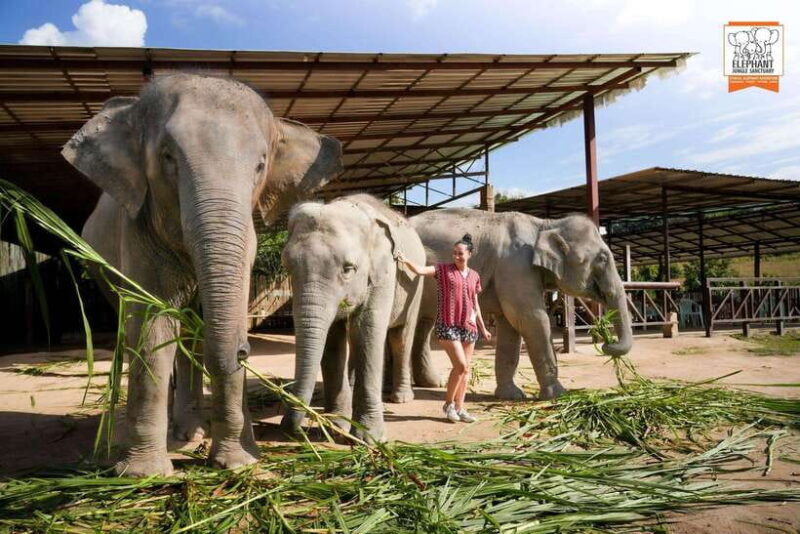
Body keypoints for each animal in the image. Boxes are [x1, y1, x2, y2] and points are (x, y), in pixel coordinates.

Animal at [62, 73, 342, 476]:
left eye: (261, 165)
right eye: (167, 157)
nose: (244, 350)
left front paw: (237, 463)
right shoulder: (137, 230)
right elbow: (152, 328)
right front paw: (143, 474)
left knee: (191, 336)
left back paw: (190, 431)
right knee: (135, 330)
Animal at [280, 194, 425, 442]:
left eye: (348, 269)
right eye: (287, 266)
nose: (292, 430)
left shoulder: (384, 272)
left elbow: (367, 329)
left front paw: (368, 439)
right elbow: (333, 339)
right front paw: (336, 426)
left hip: (416, 285)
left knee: (400, 337)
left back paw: (400, 397)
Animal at [410, 209, 633, 400]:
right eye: (603, 258)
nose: (606, 343)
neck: (545, 224)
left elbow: (511, 327)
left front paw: (511, 395)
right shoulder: (516, 267)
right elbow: (532, 320)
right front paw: (559, 395)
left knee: (423, 323)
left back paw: (431, 384)